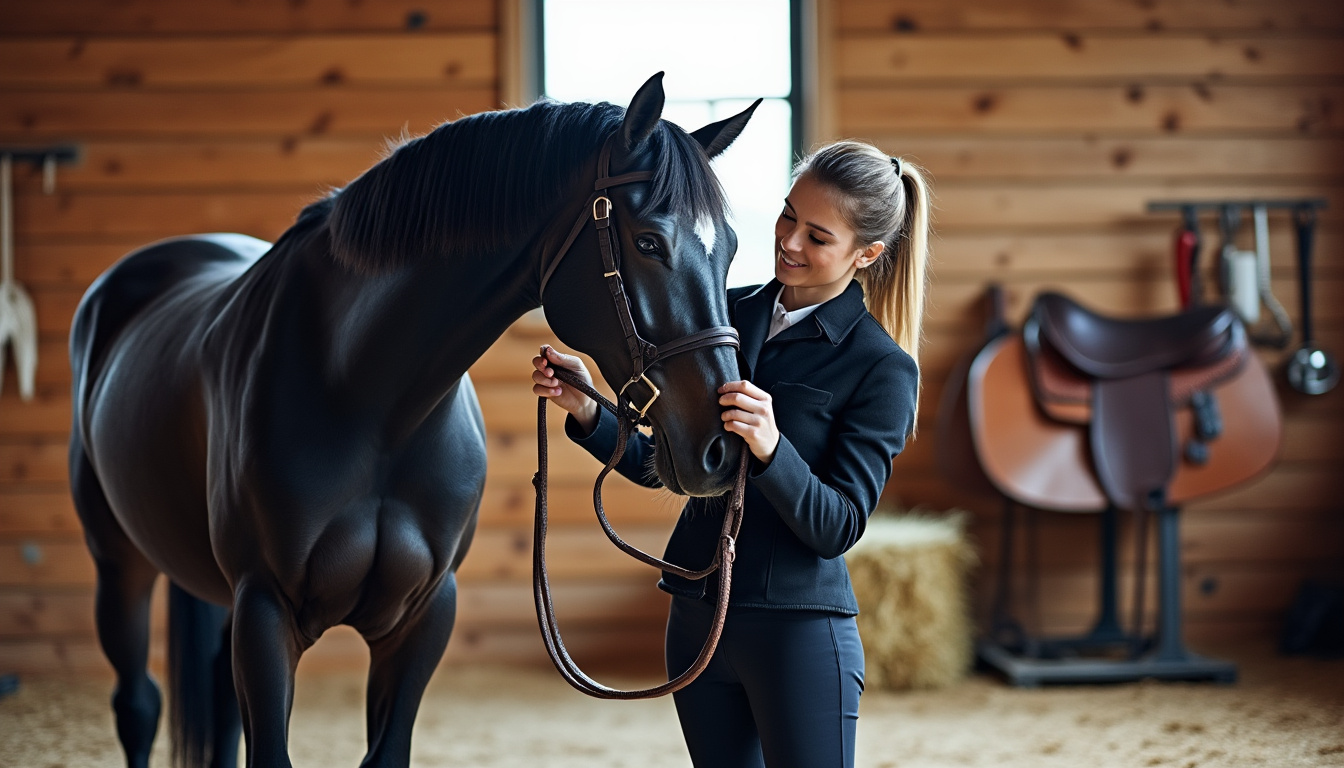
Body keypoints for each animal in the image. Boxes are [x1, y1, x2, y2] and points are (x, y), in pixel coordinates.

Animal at [68, 73, 756, 768]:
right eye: (648, 243)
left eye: (728, 250)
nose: (723, 448)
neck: (370, 401)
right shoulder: (263, 609)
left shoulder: (423, 616)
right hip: (119, 565)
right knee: (138, 704)